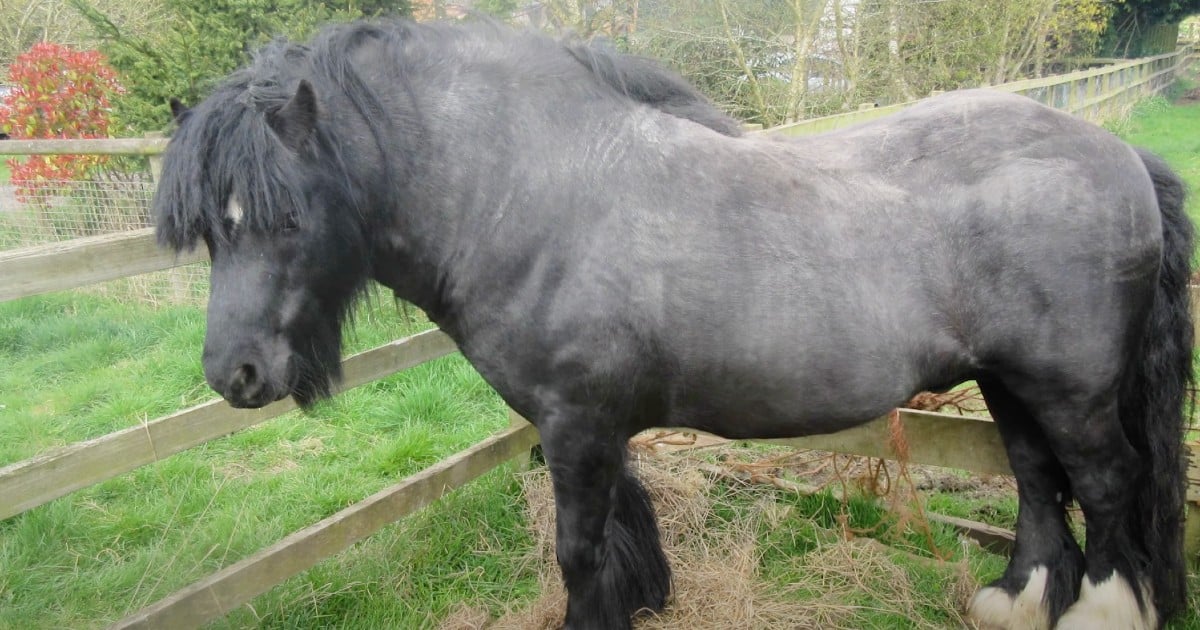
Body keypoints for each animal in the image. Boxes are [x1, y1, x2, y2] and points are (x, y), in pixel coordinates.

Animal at [154, 19, 1193, 630]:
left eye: (288, 216)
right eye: (208, 228)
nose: (234, 375)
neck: (525, 190)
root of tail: (1121, 155)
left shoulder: (576, 423)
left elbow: (578, 549)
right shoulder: (589, 426)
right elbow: (620, 531)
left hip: (1072, 386)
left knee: (1105, 485)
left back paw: (1102, 610)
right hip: (1009, 378)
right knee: (1037, 481)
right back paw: (1016, 603)